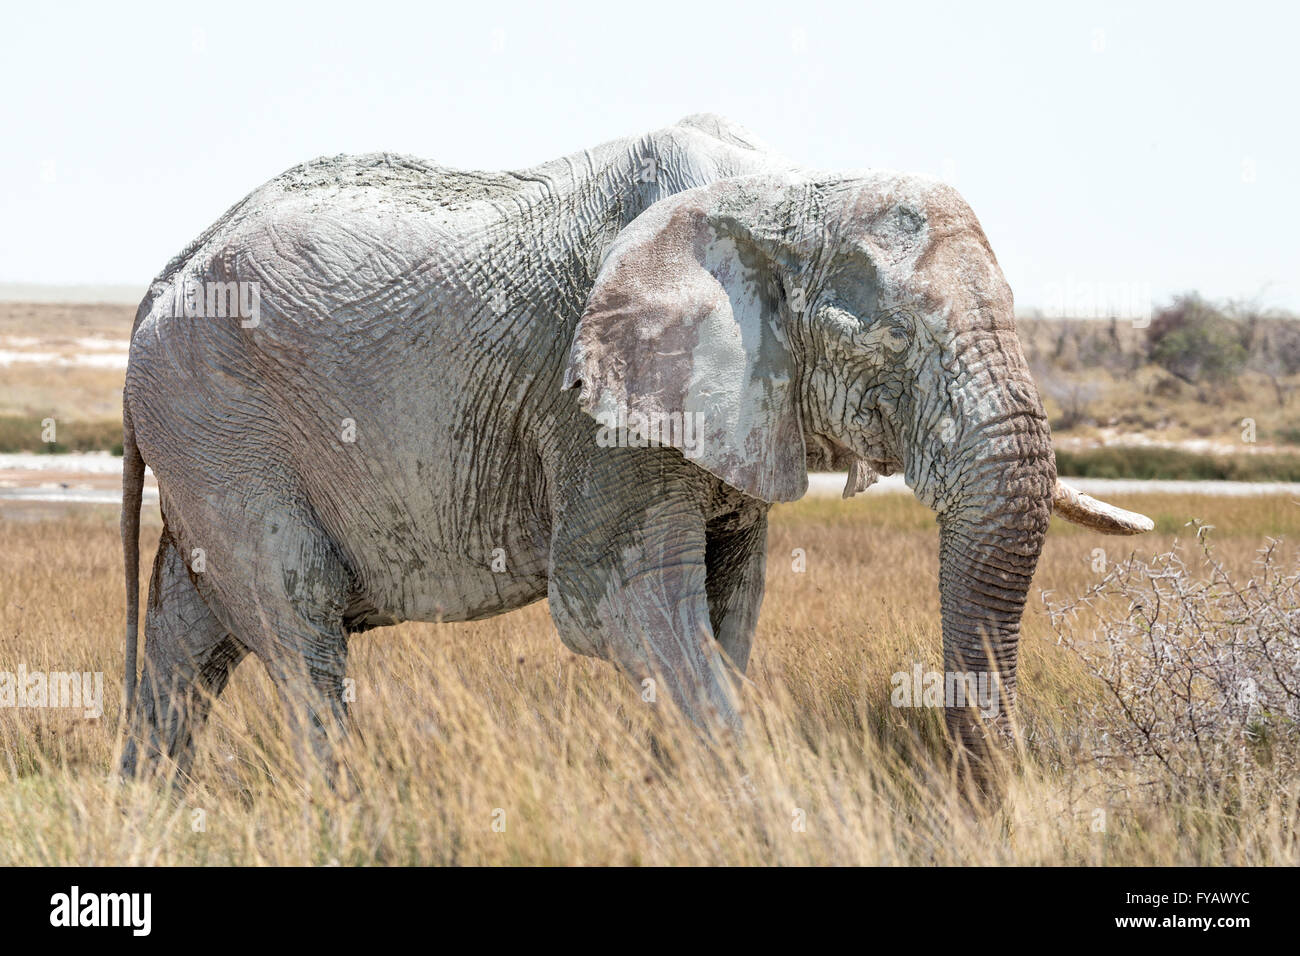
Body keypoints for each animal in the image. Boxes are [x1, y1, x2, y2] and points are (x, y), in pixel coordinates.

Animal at [119, 113, 1152, 777]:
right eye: (893, 340)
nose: (994, 780)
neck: (791, 192)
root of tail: (164, 274)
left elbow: (729, 607)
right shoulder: (596, 411)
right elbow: (617, 604)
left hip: (199, 439)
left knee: (187, 641)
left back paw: (150, 810)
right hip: (218, 422)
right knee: (298, 629)